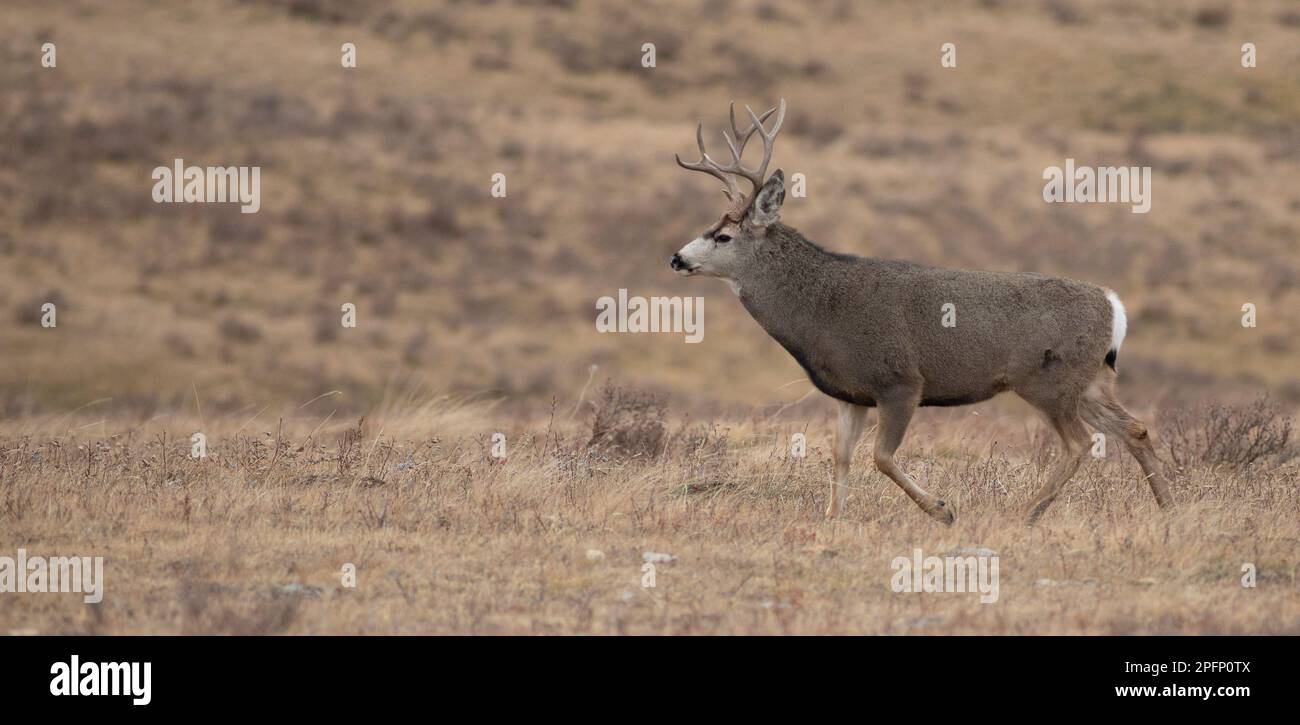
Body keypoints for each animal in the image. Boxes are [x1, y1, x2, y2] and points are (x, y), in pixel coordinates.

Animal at [670, 99, 1175, 525]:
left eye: (723, 237)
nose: (676, 258)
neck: (822, 310)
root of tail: (1113, 305)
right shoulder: (851, 392)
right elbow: (840, 454)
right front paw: (832, 519)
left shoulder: (900, 380)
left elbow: (881, 456)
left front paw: (941, 509)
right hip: (1088, 380)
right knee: (1134, 429)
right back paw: (1168, 506)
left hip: (1048, 380)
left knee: (1079, 444)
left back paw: (1026, 512)